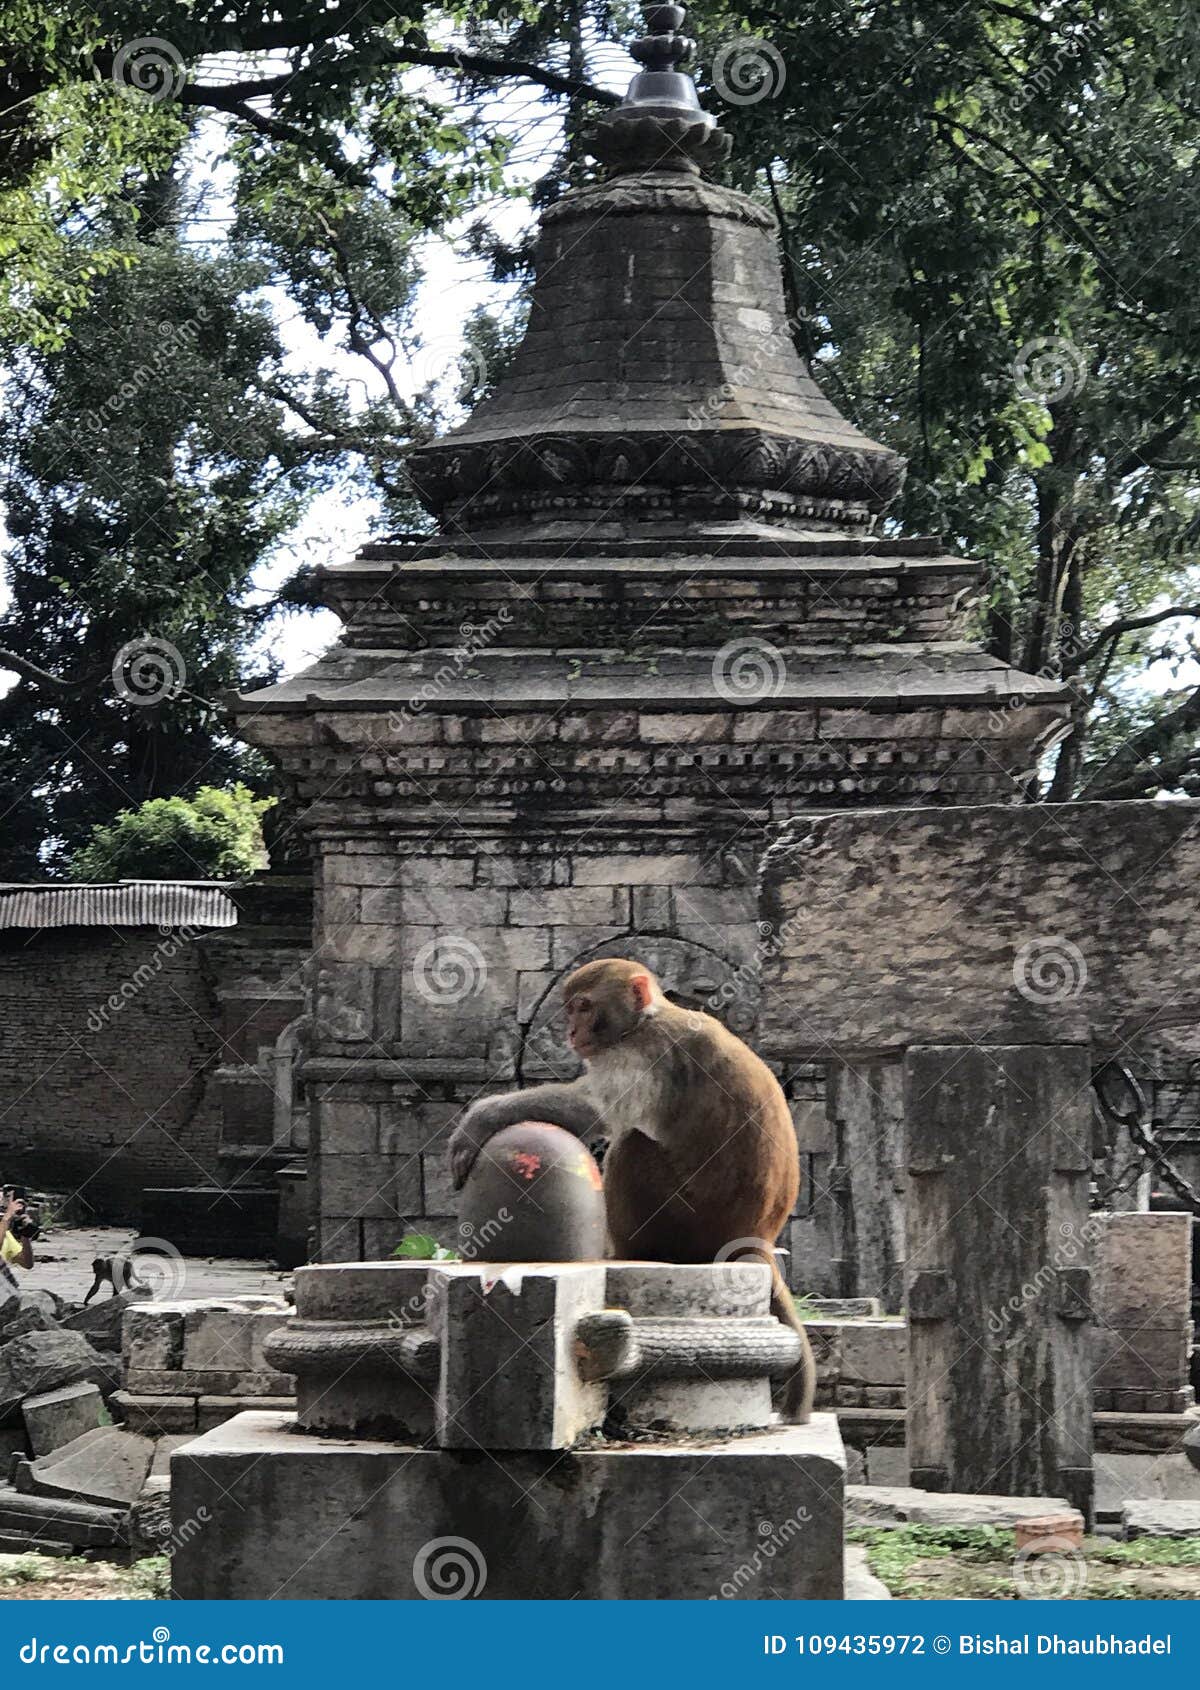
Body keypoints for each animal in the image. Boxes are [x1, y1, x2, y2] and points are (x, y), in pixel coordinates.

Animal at [449, 957, 815, 1422]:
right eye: (570, 1009)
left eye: (584, 1007)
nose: (572, 1033)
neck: (647, 1020)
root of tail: (756, 1239)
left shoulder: (644, 1055)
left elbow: (593, 1110)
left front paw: (479, 1119)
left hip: (685, 1224)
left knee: (632, 1144)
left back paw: (624, 1252)